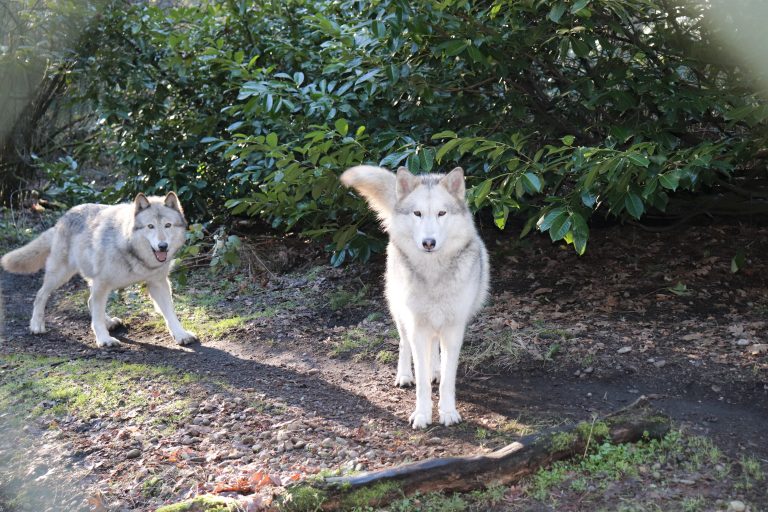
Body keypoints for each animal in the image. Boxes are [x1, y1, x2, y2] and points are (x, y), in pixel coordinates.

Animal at [1, 192, 198, 348]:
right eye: (150, 226)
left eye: (167, 225)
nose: (163, 246)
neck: (130, 248)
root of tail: (62, 218)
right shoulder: (102, 283)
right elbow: (95, 317)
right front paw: (104, 339)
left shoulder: (158, 283)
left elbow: (170, 313)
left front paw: (181, 335)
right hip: (62, 275)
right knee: (41, 295)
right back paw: (36, 325)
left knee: (89, 301)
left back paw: (109, 321)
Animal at [341, 165, 489, 428]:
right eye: (417, 213)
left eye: (441, 213)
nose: (428, 242)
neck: (433, 273)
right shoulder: (417, 327)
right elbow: (421, 381)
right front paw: (422, 414)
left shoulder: (453, 330)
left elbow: (448, 379)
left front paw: (448, 412)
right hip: (401, 314)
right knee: (404, 343)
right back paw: (404, 376)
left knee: (435, 350)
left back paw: (435, 371)